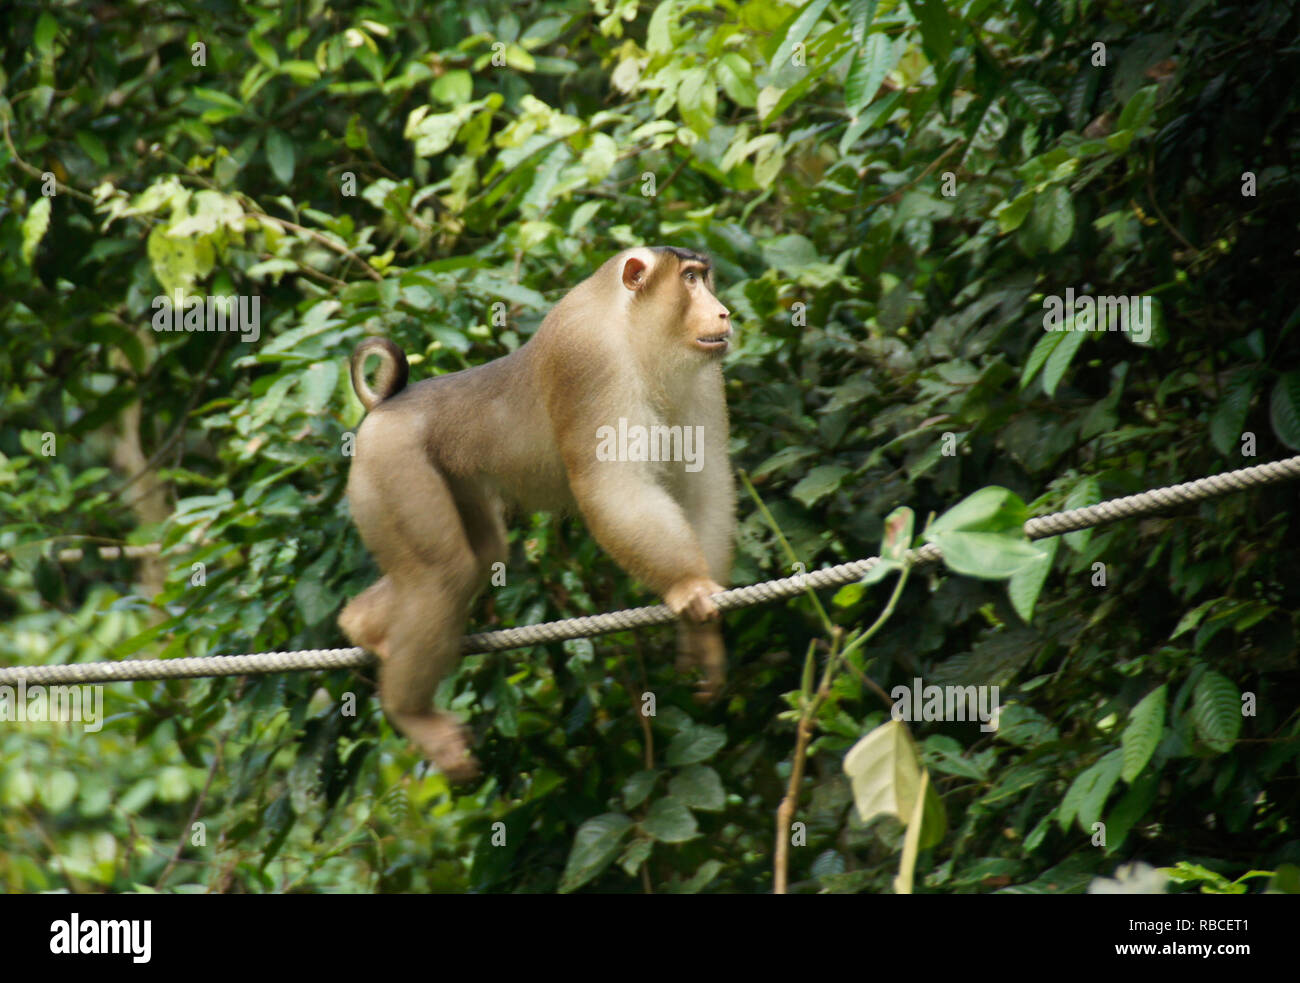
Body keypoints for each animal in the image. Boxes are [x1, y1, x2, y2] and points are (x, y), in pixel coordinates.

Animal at [338, 246, 735, 781]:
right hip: (390, 464)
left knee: (482, 555)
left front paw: (703, 638)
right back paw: (411, 712)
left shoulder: (704, 374)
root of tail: (387, 406)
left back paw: (364, 625)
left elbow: (706, 483)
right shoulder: (588, 357)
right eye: (690, 279)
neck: (631, 326)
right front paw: (688, 585)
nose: (724, 312)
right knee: (442, 572)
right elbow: (612, 487)